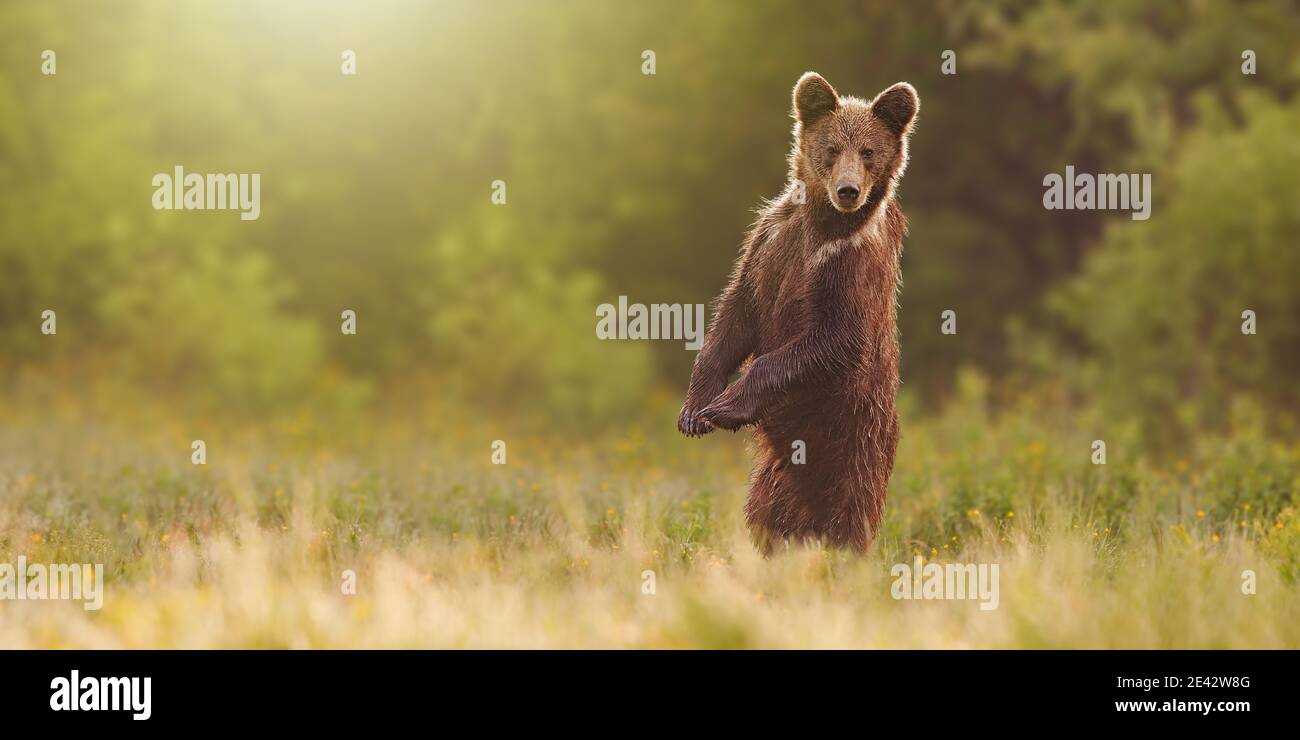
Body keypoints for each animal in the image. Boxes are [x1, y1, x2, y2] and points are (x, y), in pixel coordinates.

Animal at [677, 72, 918, 554]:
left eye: (869, 151)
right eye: (832, 148)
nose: (848, 190)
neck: (823, 223)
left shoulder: (849, 265)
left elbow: (835, 339)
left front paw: (726, 406)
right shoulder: (769, 242)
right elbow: (735, 314)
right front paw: (696, 408)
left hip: (857, 437)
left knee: (848, 511)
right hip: (776, 476)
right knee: (767, 513)